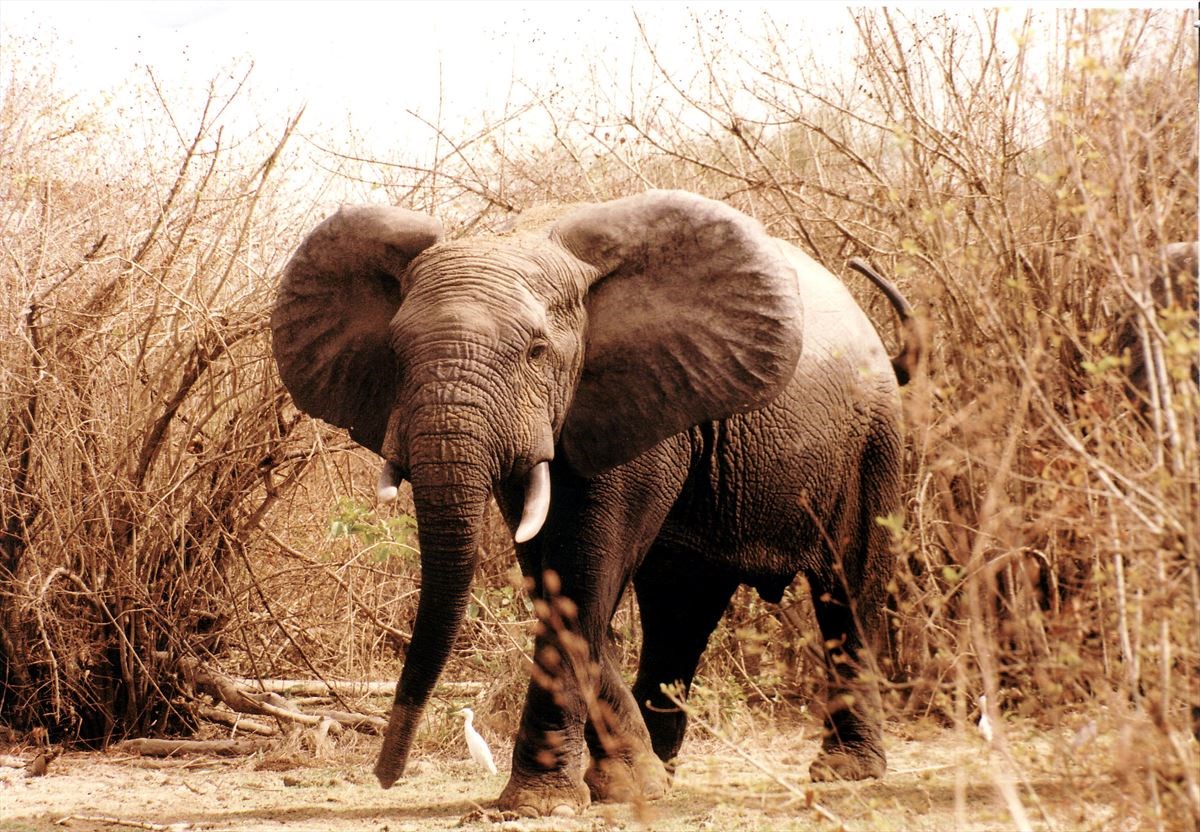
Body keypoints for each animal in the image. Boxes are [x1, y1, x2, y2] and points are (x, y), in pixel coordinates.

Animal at [270, 190, 920, 816]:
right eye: (396, 353)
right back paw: (667, 772)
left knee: (848, 588)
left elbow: (583, 574)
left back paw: (844, 770)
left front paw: (540, 803)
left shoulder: (640, 403)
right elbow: (552, 579)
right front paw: (631, 782)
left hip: (874, 439)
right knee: (681, 609)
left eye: (536, 351)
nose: (385, 775)